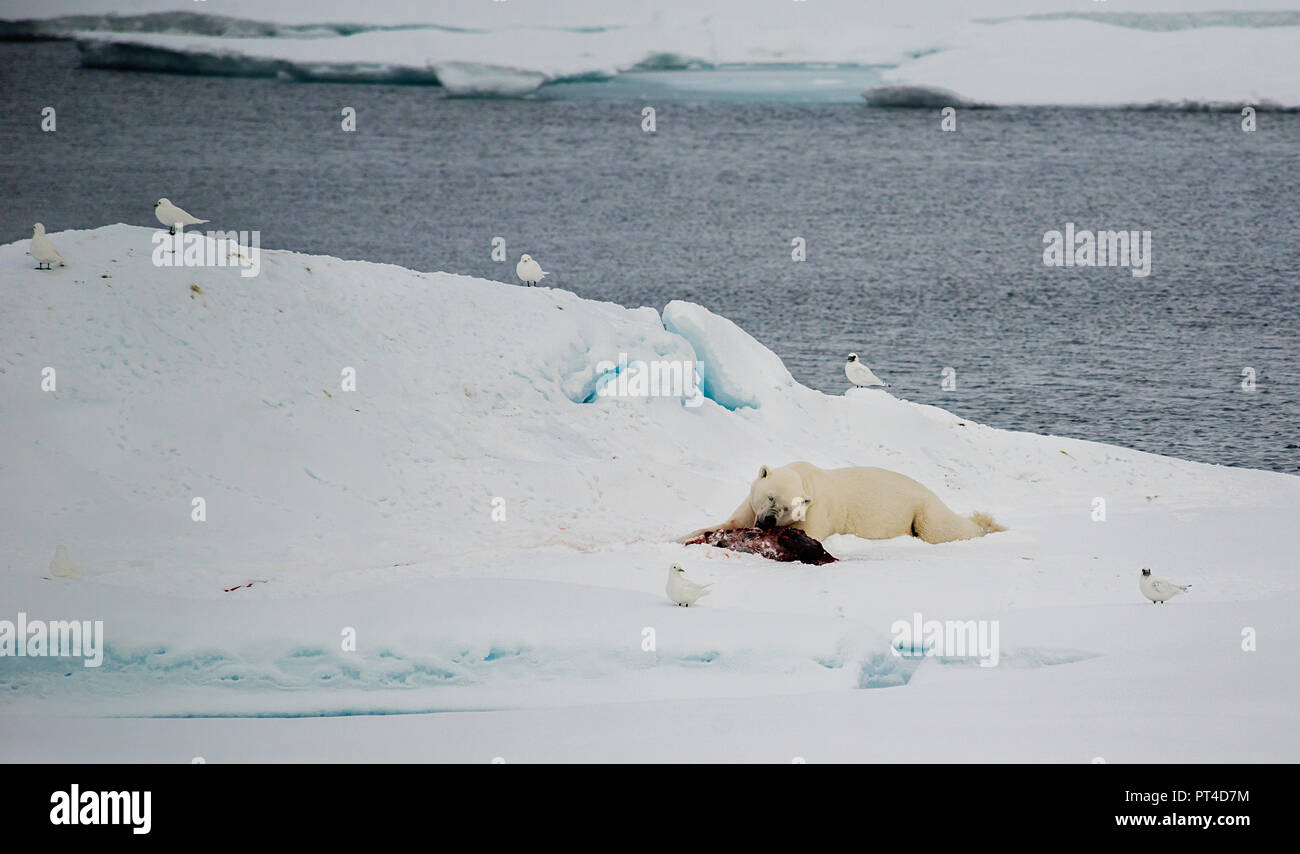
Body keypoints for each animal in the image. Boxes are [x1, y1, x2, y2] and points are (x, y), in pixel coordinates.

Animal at [678, 461, 1003, 545]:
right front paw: (677, 537)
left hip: (922, 508)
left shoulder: (815, 513)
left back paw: (987, 524)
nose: (768, 521)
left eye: (787, 508)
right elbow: (728, 521)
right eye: (770, 497)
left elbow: (809, 534)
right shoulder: (749, 508)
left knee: (940, 528)